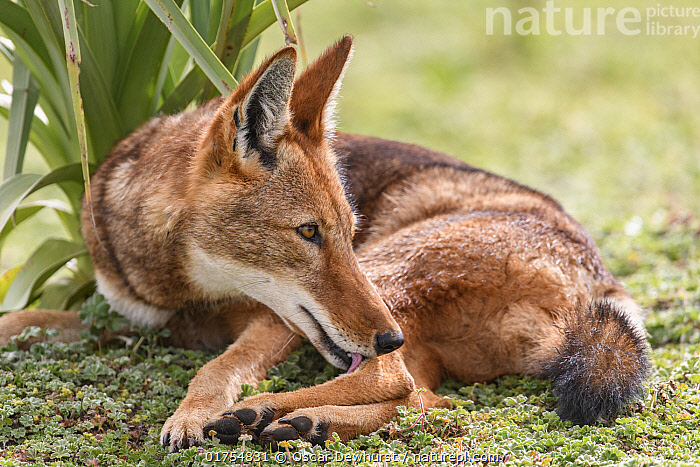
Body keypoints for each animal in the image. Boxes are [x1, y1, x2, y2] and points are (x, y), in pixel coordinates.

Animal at [0, 36, 648, 451]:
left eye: (347, 230)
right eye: (309, 232)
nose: (390, 335)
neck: (183, 290)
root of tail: (601, 279)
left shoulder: (275, 320)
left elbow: (216, 366)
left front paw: (192, 415)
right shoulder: (134, 321)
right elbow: (23, 319)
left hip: (388, 282)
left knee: (395, 381)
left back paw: (266, 413)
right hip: (404, 331)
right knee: (425, 400)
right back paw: (301, 422)